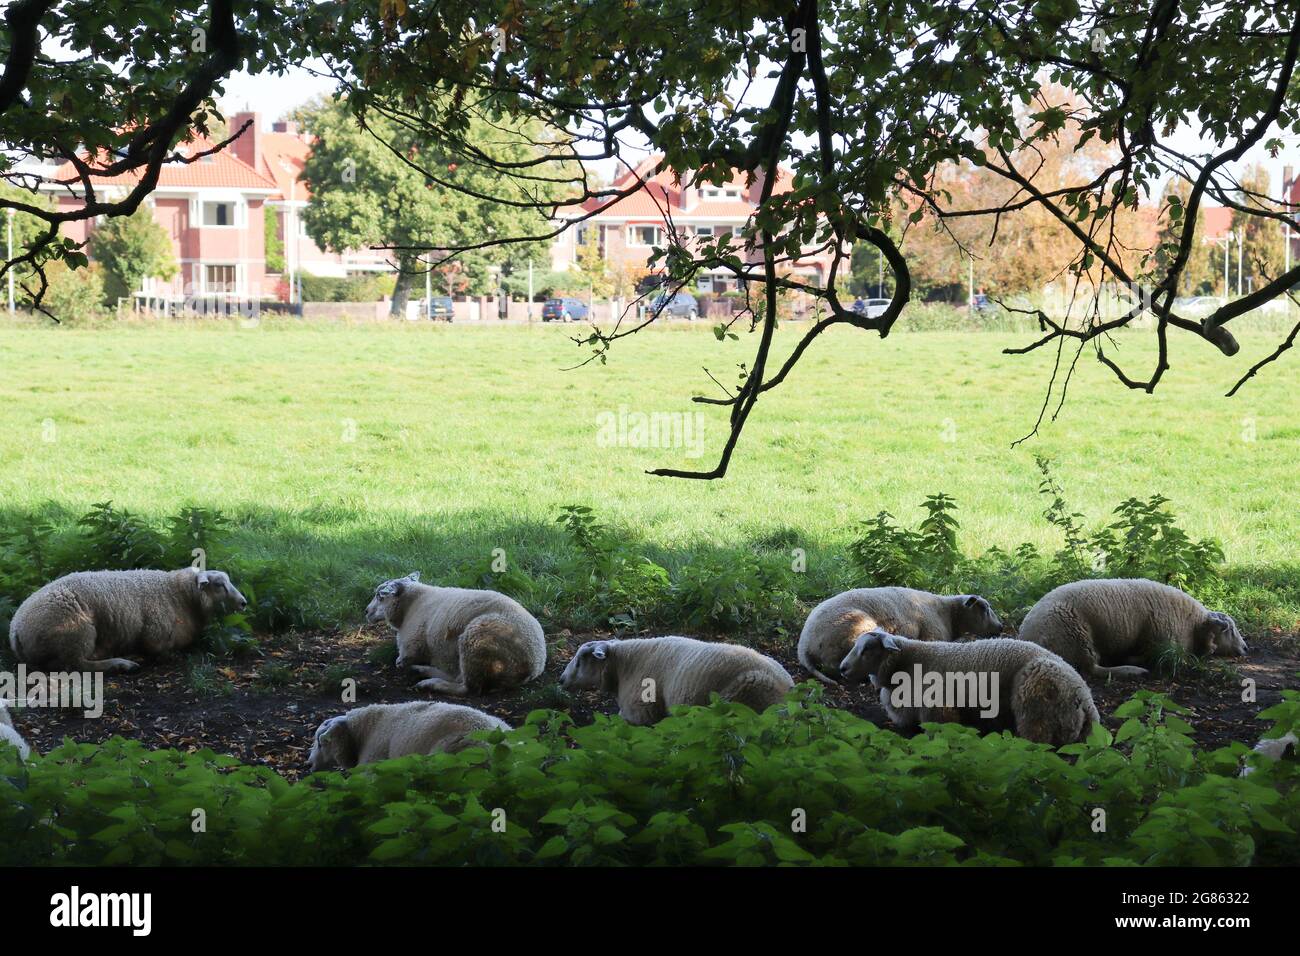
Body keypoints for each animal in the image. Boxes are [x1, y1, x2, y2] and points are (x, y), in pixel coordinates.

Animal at [8, 568, 247, 673]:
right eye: (219, 585)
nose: (244, 603)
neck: (178, 593)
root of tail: (15, 629)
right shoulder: (155, 635)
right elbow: (161, 651)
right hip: (75, 632)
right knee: (78, 664)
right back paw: (121, 663)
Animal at [366, 573, 546, 696]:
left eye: (380, 596)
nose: (366, 611)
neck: (412, 604)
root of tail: (533, 666)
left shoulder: (410, 647)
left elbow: (400, 662)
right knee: (458, 677)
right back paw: (421, 671)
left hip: (477, 640)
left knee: (467, 688)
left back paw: (430, 682)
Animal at [797, 586, 1003, 685]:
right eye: (984, 608)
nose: (1001, 627)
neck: (948, 614)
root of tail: (803, 646)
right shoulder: (932, 635)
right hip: (857, 630)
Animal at [1016, 578, 1247, 681]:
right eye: (1229, 630)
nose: (1246, 648)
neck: (1194, 625)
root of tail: (1026, 635)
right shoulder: (1159, 643)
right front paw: (1133, 661)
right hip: (1076, 635)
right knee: (1092, 669)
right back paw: (1131, 670)